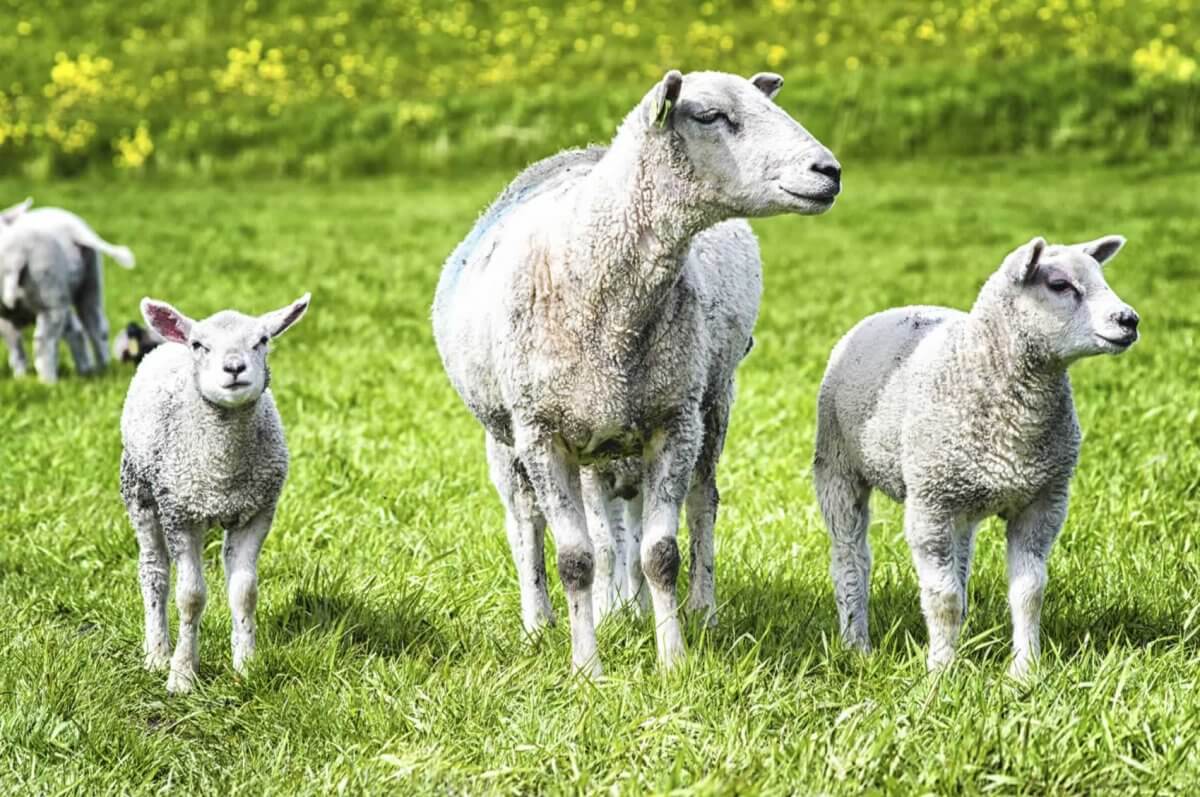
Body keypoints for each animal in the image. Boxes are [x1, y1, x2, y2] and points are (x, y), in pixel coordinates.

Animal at [120, 292, 310, 693]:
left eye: (262, 340)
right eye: (199, 345)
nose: (234, 367)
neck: (223, 471)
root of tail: (165, 345)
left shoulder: (258, 512)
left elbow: (244, 593)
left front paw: (247, 666)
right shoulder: (180, 514)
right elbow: (190, 597)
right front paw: (181, 674)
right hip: (139, 489)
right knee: (154, 571)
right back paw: (156, 653)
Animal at [434, 69, 841, 675]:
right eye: (711, 116)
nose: (829, 171)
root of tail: (579, 151)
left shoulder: (673, 421)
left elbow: (660, 553)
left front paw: (673, 661)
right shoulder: (542, 432)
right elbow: (576, 557)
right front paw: (587, 668)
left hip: (709, 404)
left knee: (700, 503)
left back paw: (695, 610)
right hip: (509, 438)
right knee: (527, 522)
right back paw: (544, 623)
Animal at [813, 235, 1139, 678]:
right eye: (1059, 285)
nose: (1129, 320)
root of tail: (897, 307)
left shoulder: (1044, 501)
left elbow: (1029, 593)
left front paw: (1025, 670)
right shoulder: (930, 505)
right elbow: (942, 597)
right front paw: (941, 670)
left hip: (963, 494)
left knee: (961, 562)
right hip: (839, 467)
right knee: (852, 558)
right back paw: (856, 644)